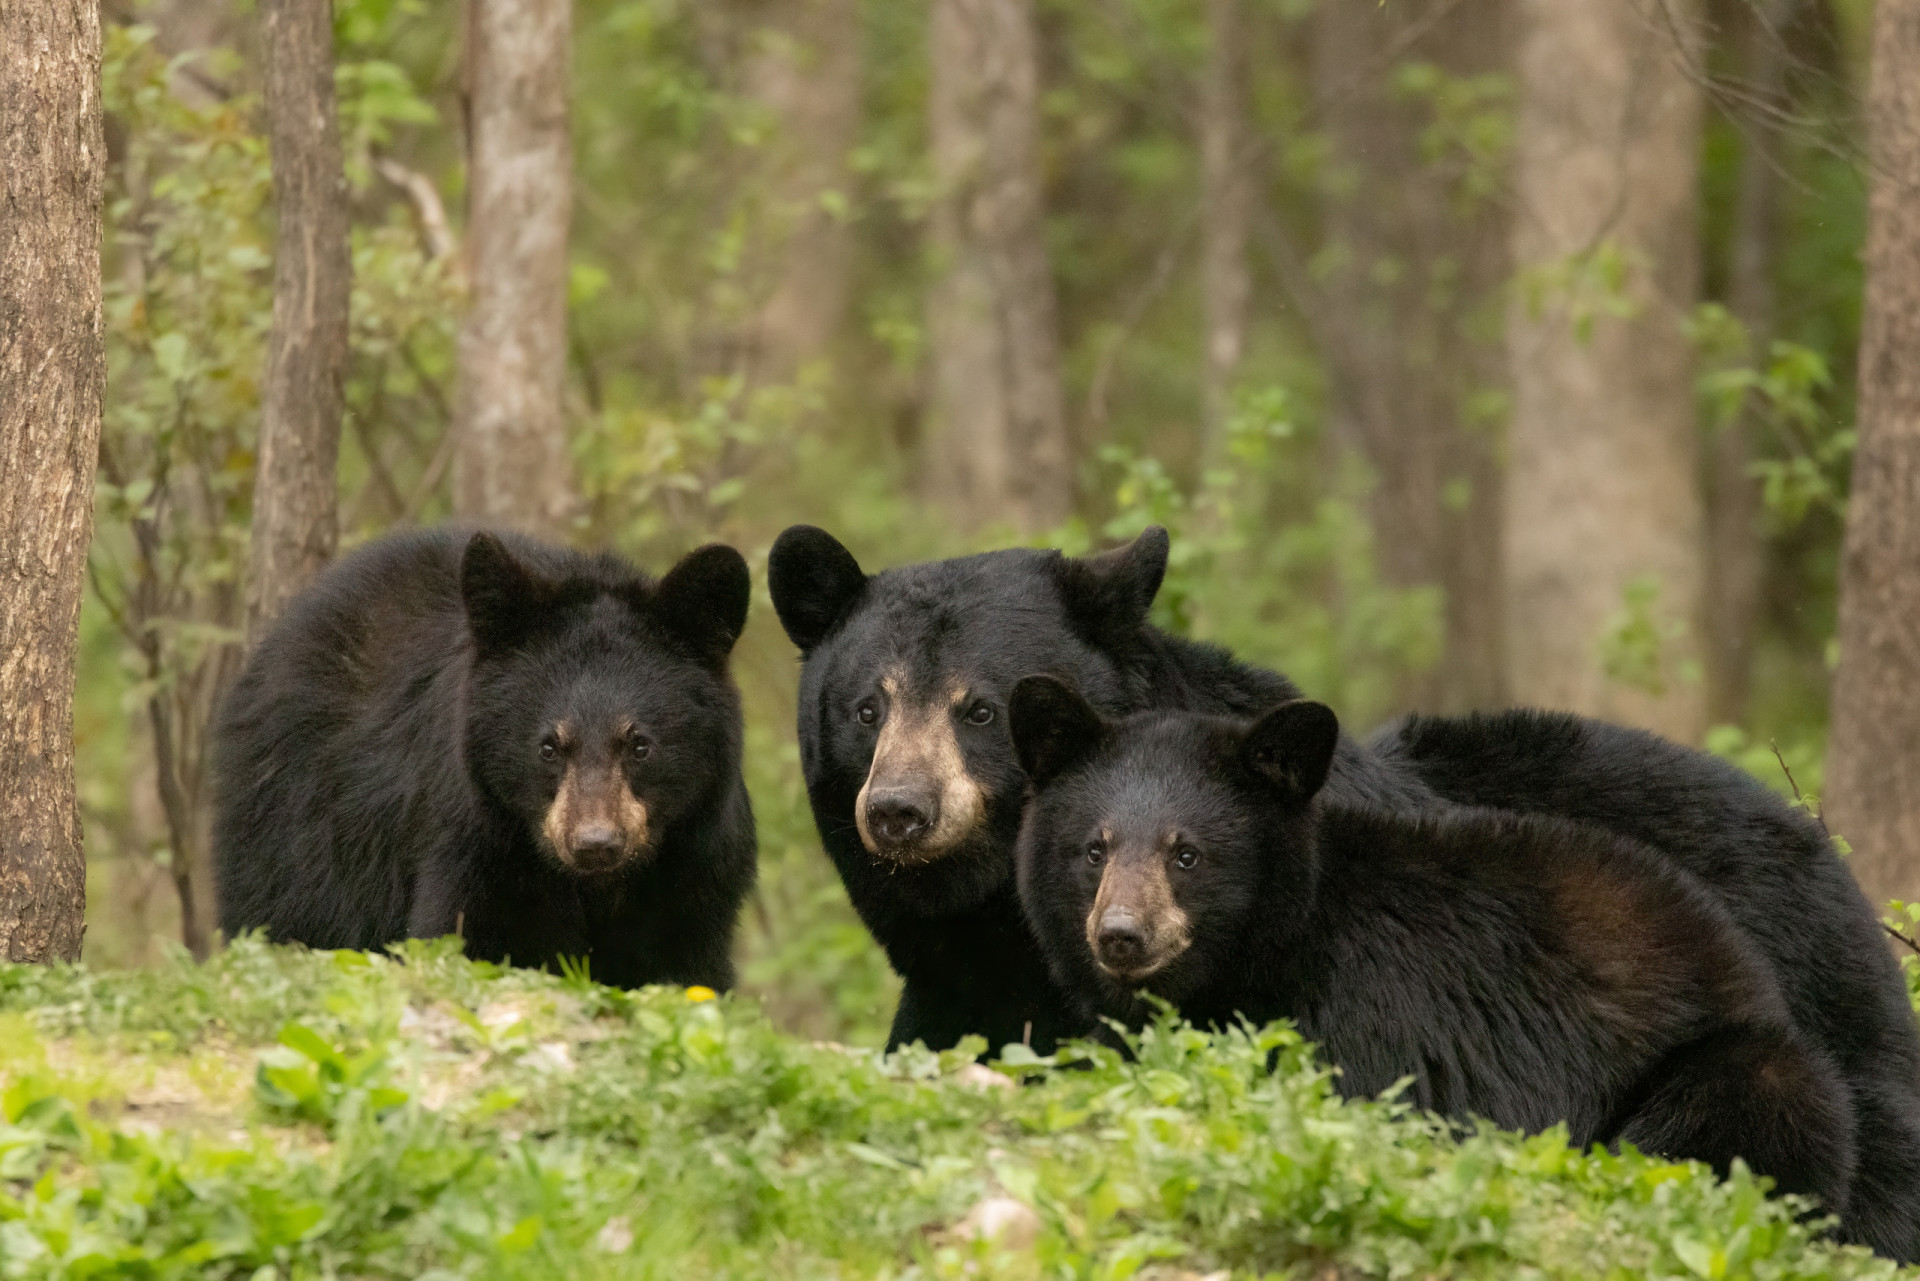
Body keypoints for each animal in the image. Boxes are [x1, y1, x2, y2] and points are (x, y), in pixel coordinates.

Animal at [213, 526, 756, 990]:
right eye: (547, 746)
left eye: (640, 744)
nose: (595, 845)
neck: (599, 887)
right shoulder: (480, 845)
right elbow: (471, 938)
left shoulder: (694, 869)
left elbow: (686, 967)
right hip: (297, 837)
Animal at [1008, 675, 1860, 1230]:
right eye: (1094, 848)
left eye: (1186, 853)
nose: (1122, 934)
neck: (1270, 946)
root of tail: (1746, 971)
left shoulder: (1366, 1011)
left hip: (1738, 1067)